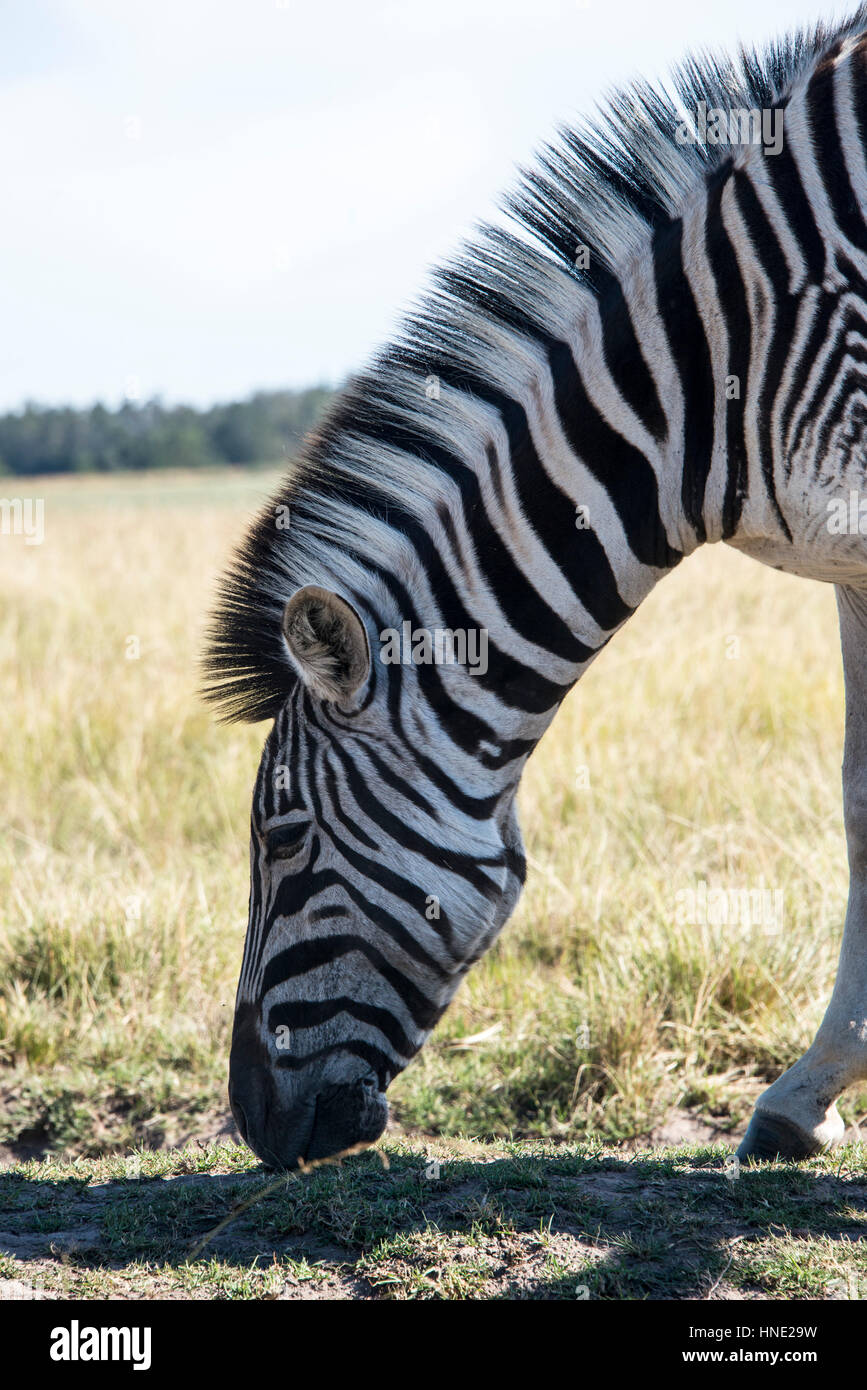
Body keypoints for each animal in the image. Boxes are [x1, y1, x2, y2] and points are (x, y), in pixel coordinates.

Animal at [204, 7, 867, 1169]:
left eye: (282, 840)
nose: (255, 1120)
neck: (705, 384)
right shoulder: (847, 557)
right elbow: (861, 800)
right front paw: (808, 1096)